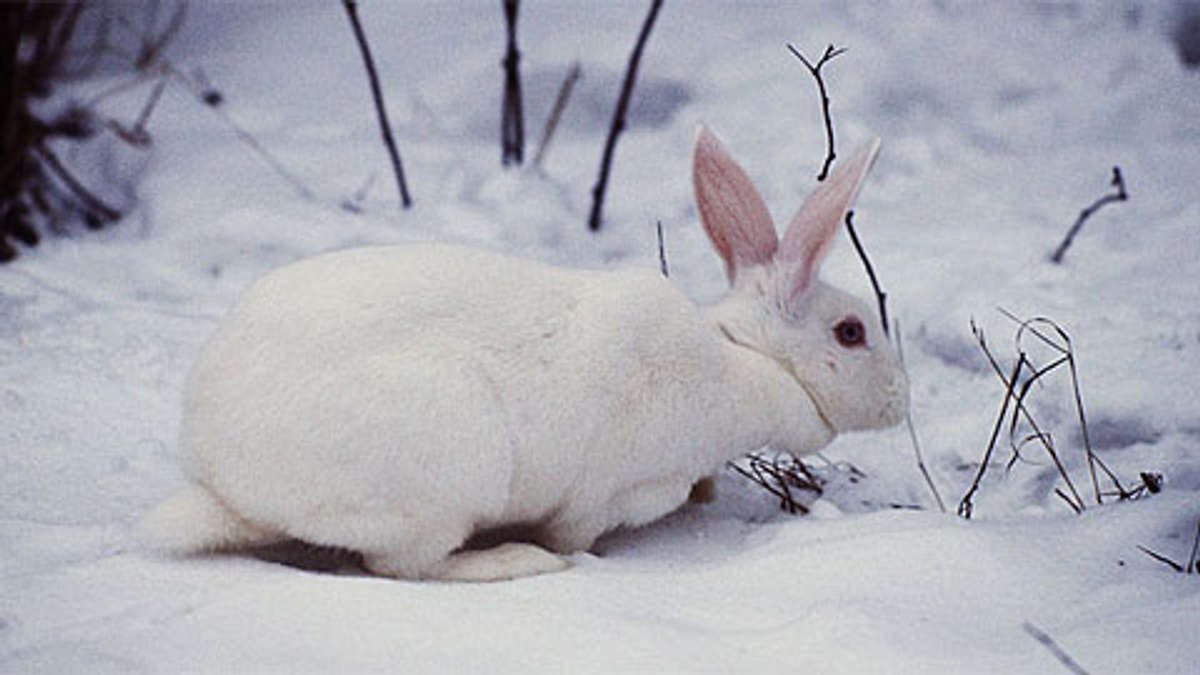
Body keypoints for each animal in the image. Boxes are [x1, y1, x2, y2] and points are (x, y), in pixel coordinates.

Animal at [139, 126, 908, 582]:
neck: (743, 356)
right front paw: (577, 556)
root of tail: (225, 482)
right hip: (449, 473)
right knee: (405, 566)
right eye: (851, 332)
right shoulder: (601, 491)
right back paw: (514, 561)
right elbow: (577, 531)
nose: (901, 402)